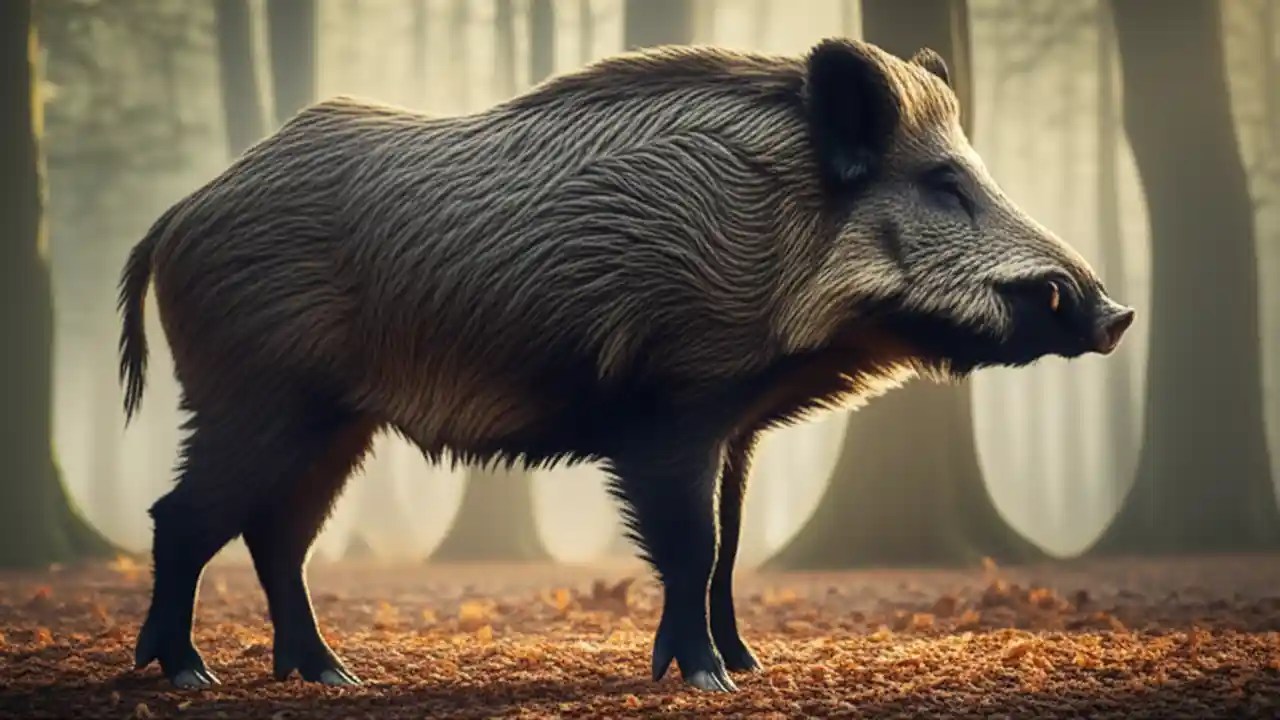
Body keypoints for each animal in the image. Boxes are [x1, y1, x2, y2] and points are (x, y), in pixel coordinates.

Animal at [118, 38, 1133, 692]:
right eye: (945, 183)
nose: (1117, 312)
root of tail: (178, 216)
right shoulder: (670, 407)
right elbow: (693, 545)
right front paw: (709, 682)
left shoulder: (739, 427)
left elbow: (731, 547)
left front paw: (747, 666)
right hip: (252, 395)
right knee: (183, 518)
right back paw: (188, 675)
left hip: (334, 421)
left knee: (276, 535)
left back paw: (331, 677)